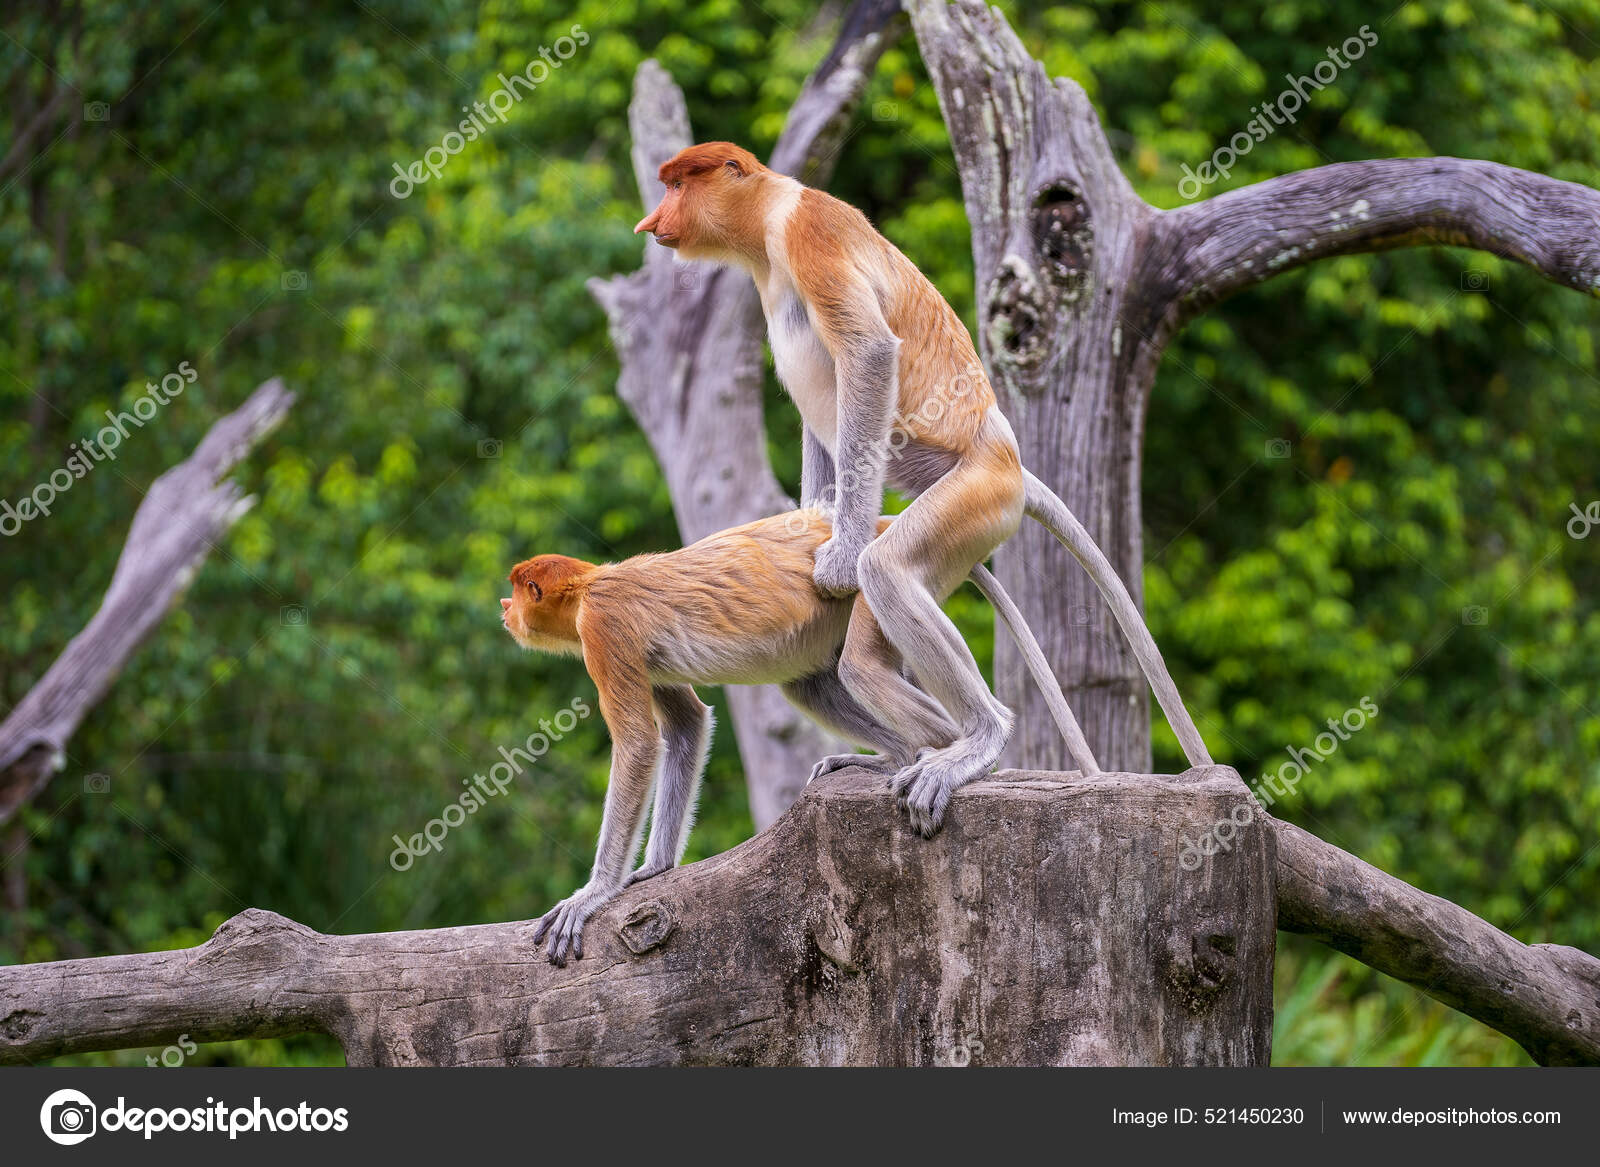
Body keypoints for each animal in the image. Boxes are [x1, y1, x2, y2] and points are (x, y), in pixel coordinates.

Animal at [502, 510, 1098, 964]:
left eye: (518, 588)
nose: (505, 609)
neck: (589, 587)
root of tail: (879, 522)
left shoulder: (604, 629)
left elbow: (639, 743)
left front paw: (593, 894)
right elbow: (686, 723)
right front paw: (655, 869)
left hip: (870, 584)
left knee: (860, 668)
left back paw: (958, 752)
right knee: (807, 683)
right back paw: (895, 758)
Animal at [633, 142, 1213, 834]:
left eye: (677, 185)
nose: (651, 222)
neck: (768, 222)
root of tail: (1010, 460)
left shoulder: (810, 236)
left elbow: (867, 353)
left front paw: (837, 555)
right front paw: (808, 522)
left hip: (975, 500)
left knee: (887, 570)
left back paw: (975, 739)